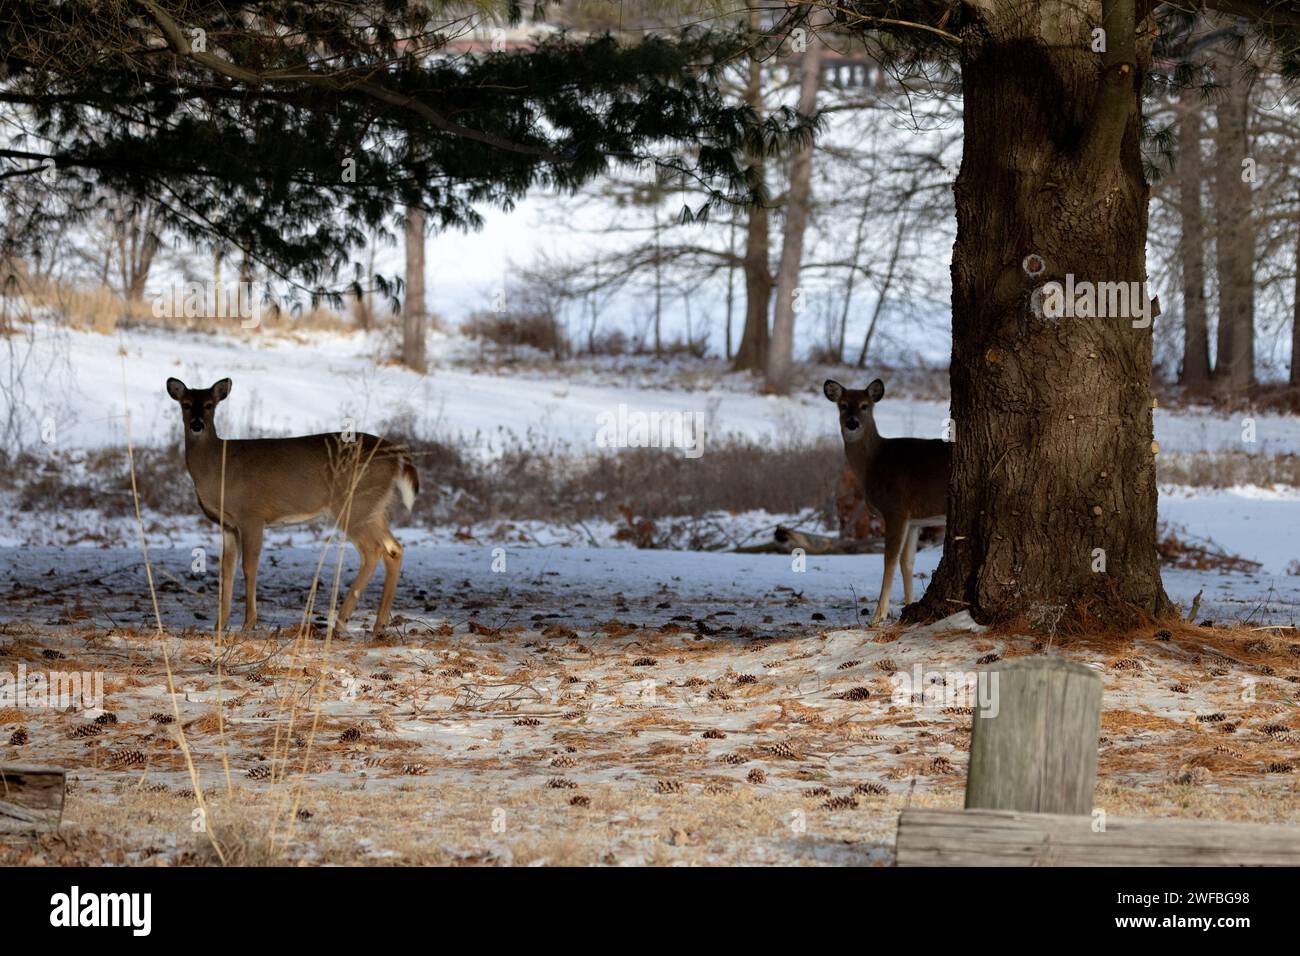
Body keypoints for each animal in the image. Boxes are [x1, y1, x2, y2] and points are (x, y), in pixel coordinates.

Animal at [165, 377, 419, 635]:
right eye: (186, 404)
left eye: (209, 405)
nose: (197, 425)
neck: (219, 467)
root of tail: (398, 457)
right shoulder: (228, 524)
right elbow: (227, 570)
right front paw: (220, 624)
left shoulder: (252, 515)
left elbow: (249, 567)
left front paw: (248, 623)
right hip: (374, 508)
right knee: (394, 548)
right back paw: (379, 624)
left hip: (354, 504)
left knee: (373, 551)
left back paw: (340, 622)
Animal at [823, 379, 950, 625]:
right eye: (843, 405)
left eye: (865, 406)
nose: (852, 424)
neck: (873, 463)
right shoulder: (915, 520)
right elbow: (907, 562)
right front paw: (909, 606)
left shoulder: (896, 508)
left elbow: (889, 558)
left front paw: (878, 615)